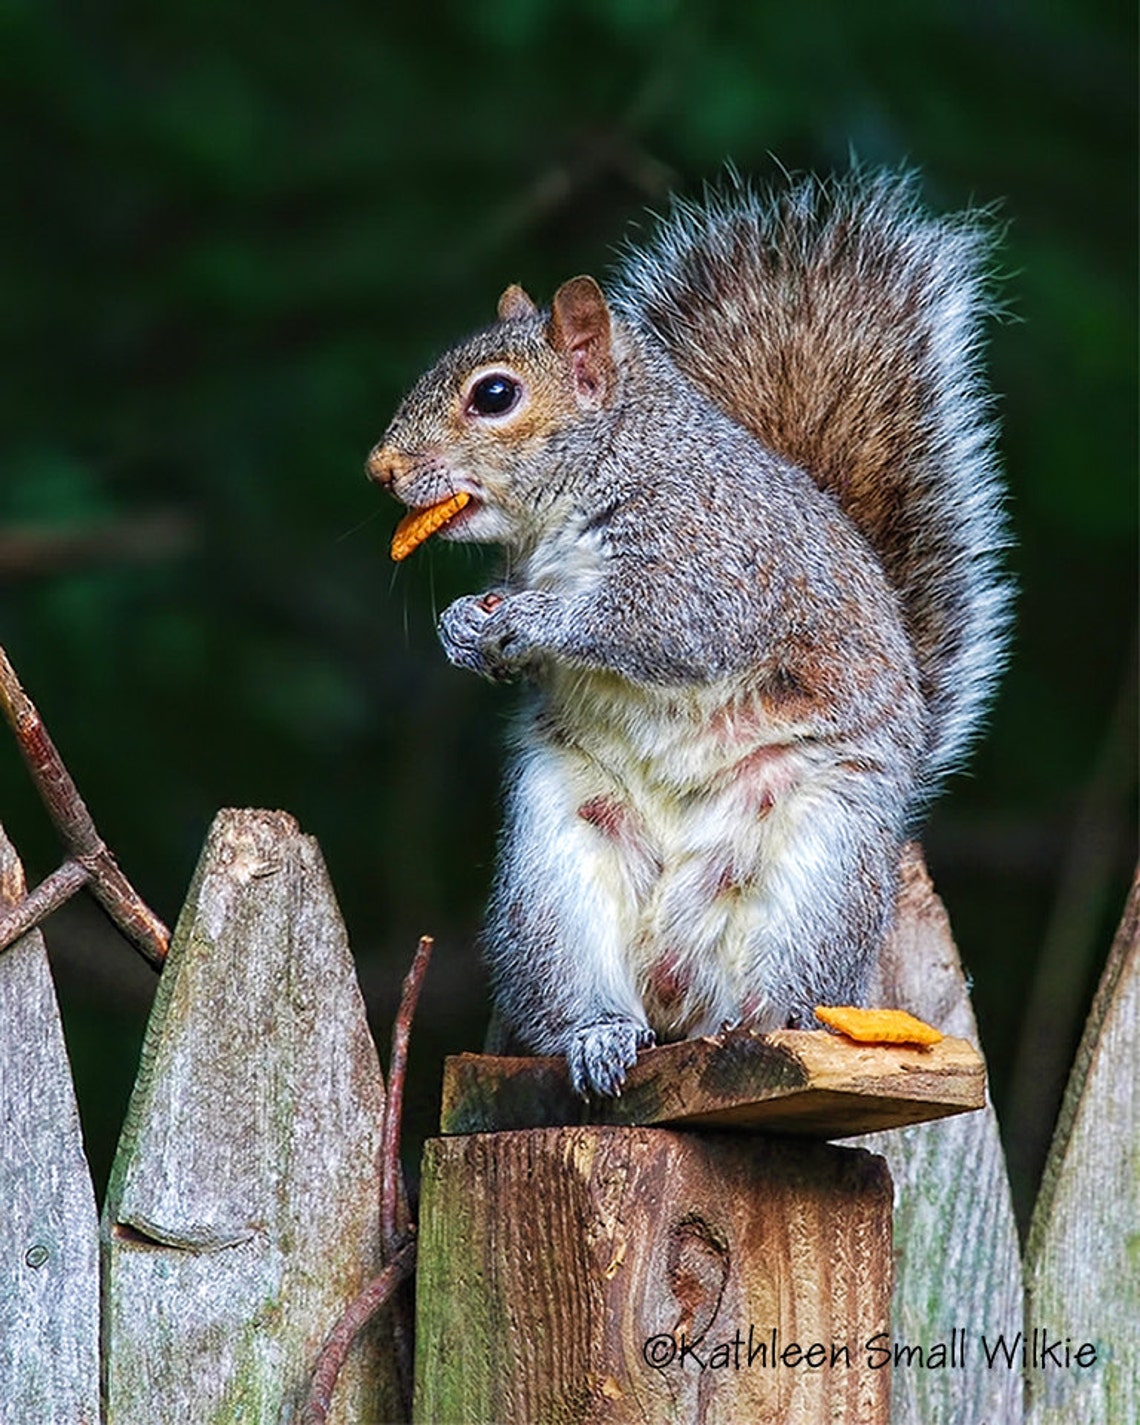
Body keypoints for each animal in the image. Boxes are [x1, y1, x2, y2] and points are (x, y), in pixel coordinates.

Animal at [368, 167, 1011, 1097]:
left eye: (494, 395)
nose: (380, 469)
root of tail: (680, 999)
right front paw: (465, 627)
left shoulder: (713, 561)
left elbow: (658, 627)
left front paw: (535, 619)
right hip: (555, 876)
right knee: (578, 994)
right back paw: (600, 1034)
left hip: (821, 866)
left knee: (789, 990)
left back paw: (777, 1024)